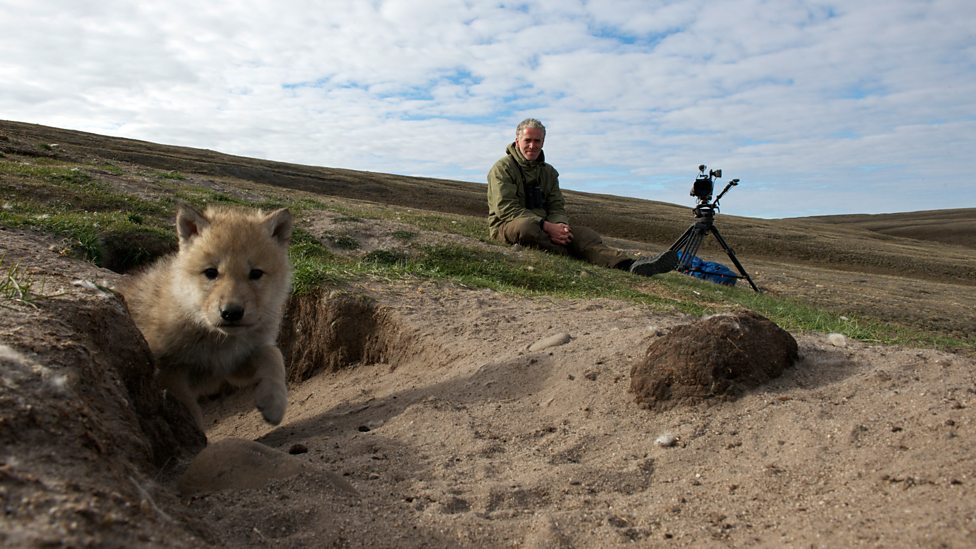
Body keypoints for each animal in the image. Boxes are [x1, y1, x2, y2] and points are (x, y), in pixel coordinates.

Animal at [120, 204, 293, 429]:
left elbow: (273, 356)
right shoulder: (169, 370)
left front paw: (274, 401)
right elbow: (189, 408)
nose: (231, 313)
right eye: (211, 272)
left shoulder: (233, 365)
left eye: (256, 273)